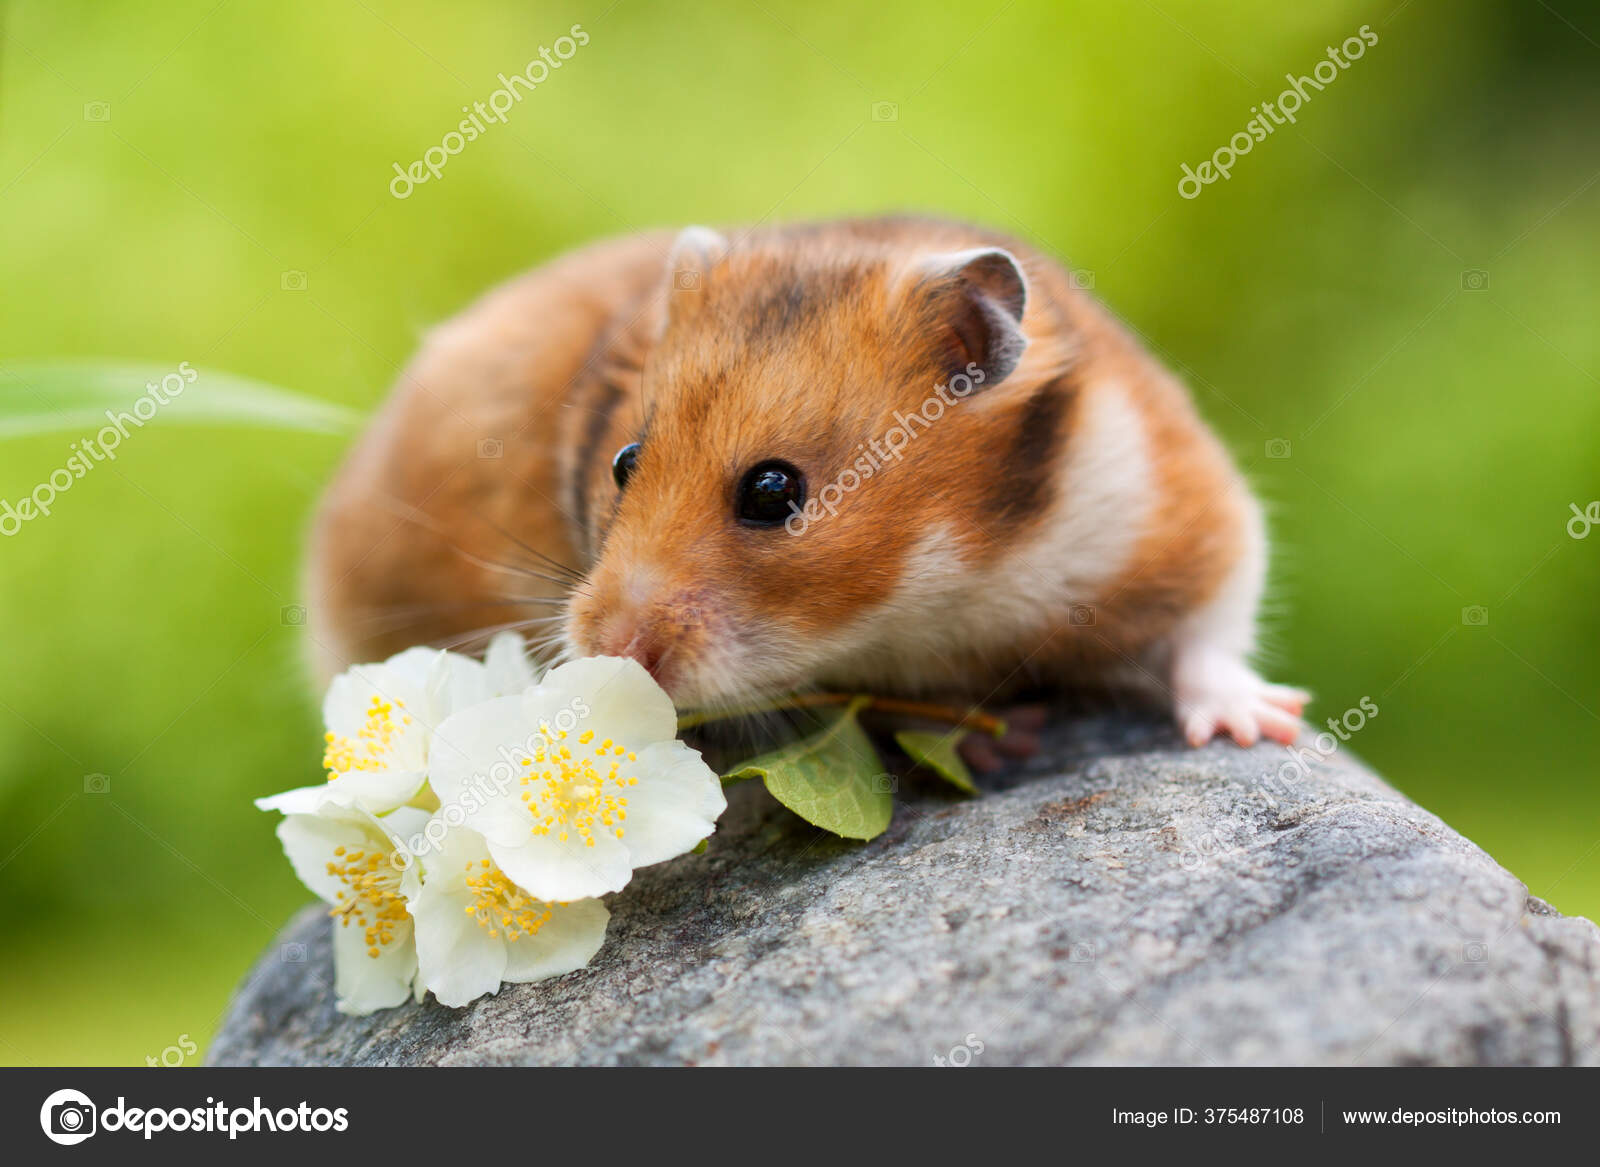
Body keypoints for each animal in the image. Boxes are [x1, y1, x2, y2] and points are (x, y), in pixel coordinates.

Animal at [307, 217, 1307, 749]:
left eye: (773, 491)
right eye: (624, 463)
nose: (610, 651)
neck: (950, 572)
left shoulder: (1183, 506)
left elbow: (1209, 632)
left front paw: (1257, 727)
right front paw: (998, 739)